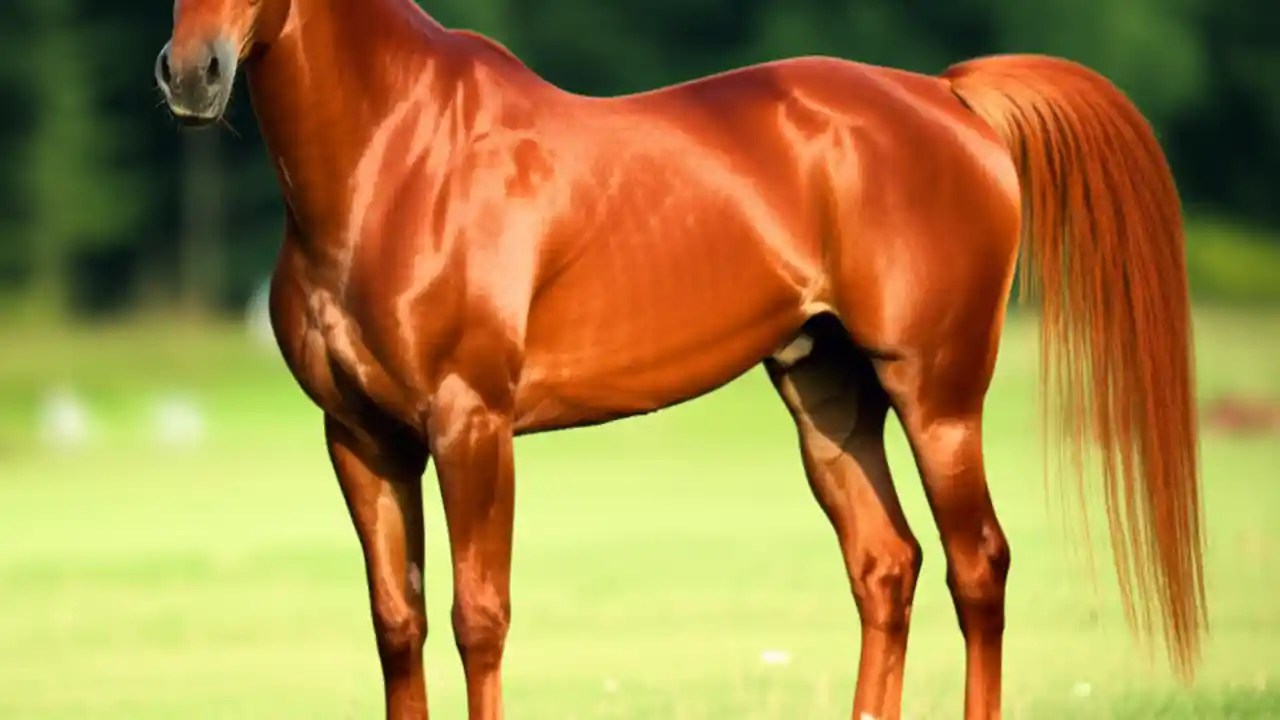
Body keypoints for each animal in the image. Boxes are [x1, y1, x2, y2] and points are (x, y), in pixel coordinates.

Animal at [155, 1, 1205, 718]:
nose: (191, 74)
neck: (397, 160)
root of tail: (946, 96)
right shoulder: (362, 438)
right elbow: (397, 625)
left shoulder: (470, 425)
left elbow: (478, 618)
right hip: (828, 396)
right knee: (887, 566)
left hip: (937, 394)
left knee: (976, 567)